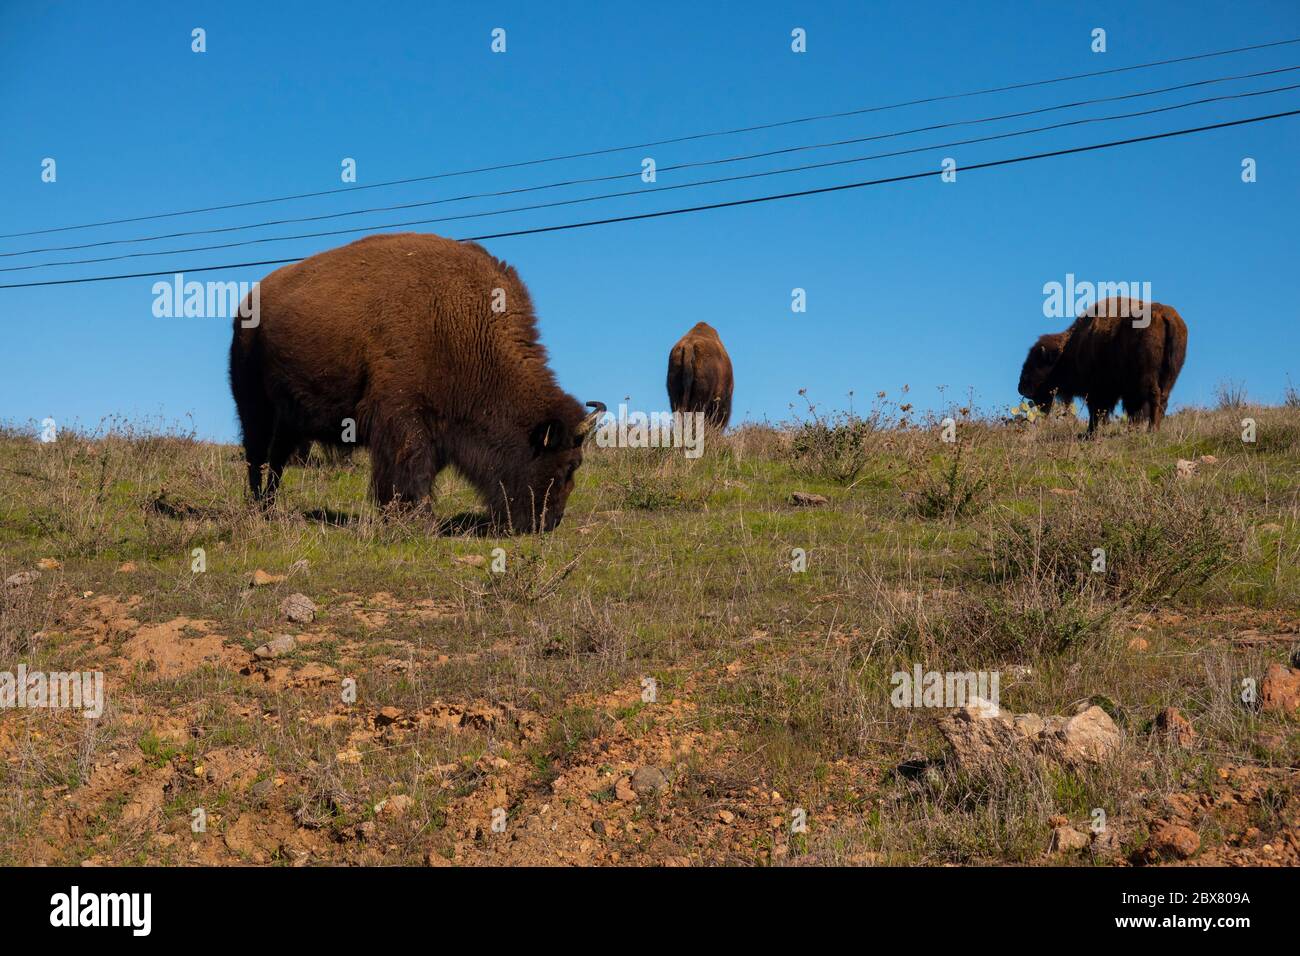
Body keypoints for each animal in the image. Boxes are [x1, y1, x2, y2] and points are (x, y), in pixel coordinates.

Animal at [229, 232, 604, 531]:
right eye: (569, 465)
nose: (549, 522)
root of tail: (246, 306)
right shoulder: (402, 418)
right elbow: (409, 471)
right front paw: (414, 520)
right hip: (254, 407)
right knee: (257, 457)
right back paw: (258, 508)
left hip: (289, 421)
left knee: (276, 461)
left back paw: (270, 508)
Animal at [1018, 297, 1187, 433]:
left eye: (1036, 363)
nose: (1021, 387)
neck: (1069, 348)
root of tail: (1163, 314)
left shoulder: (1097, 390)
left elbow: (1097, 411)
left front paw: (1090, 433)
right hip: (1169, 377)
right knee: (1163, 399)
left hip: (1148, 377)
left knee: (1154, 396)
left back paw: (1152, 430)